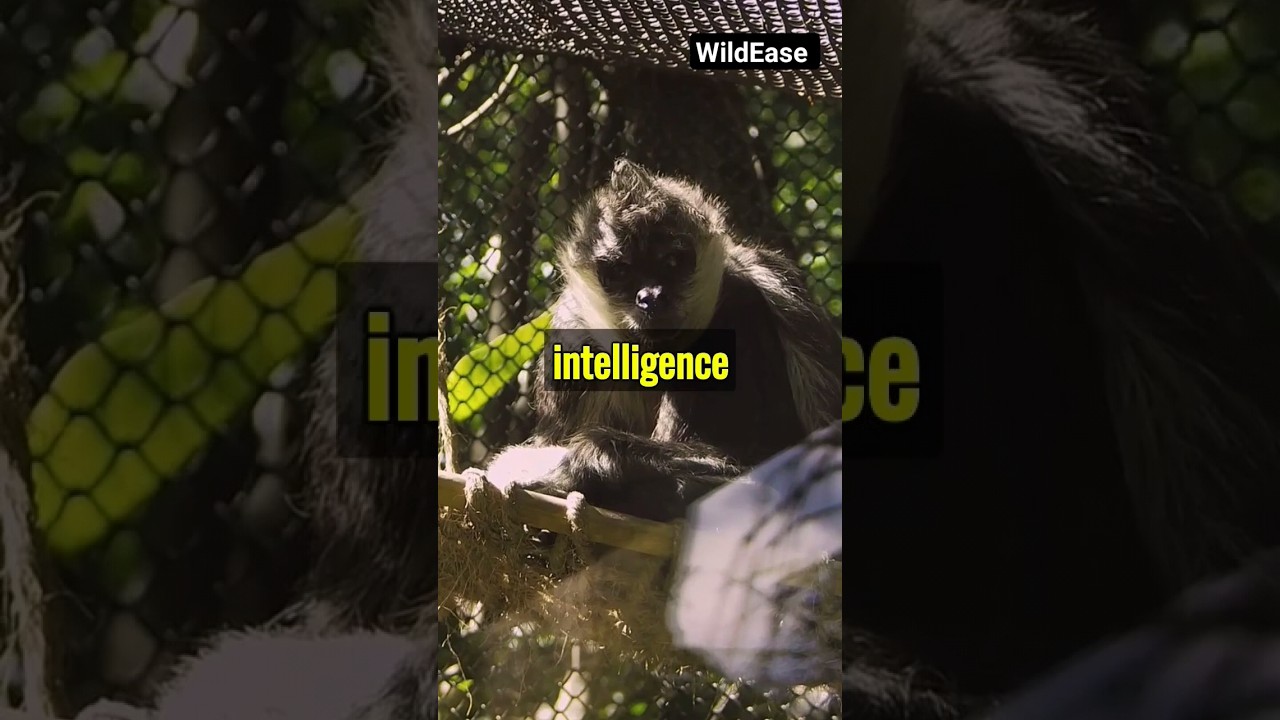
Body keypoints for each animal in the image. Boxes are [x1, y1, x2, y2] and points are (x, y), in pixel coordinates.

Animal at [478, 157, 843, 523]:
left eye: (672, 262)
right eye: (620, 272)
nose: (651, 297)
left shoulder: (756, 285)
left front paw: (594, 464)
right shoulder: (571, 337)